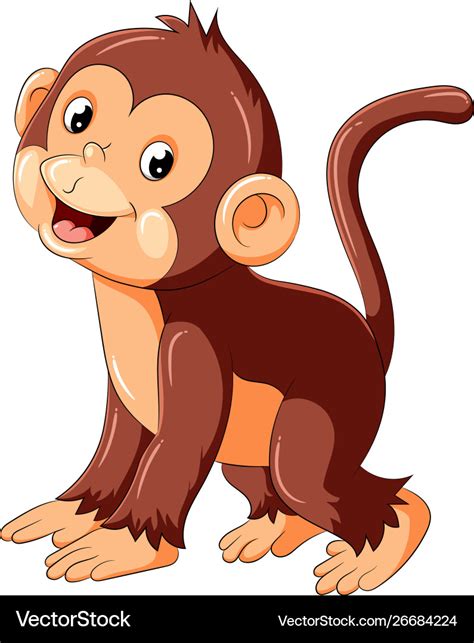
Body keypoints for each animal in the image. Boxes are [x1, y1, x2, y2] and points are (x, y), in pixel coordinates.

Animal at [2, 5, 472, 595]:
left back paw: (374, 554)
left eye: (159, 163)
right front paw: (71, 513)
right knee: (273, 484)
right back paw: (274, 530)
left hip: (328, 409)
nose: (91, 153)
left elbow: (175, 452)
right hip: (249, 456)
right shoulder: (122, 390)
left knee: (336, 485)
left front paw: (122, 544)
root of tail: (366, 334)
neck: (145, 299)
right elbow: (116, 446)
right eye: (78, 117)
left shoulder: (192, 345)